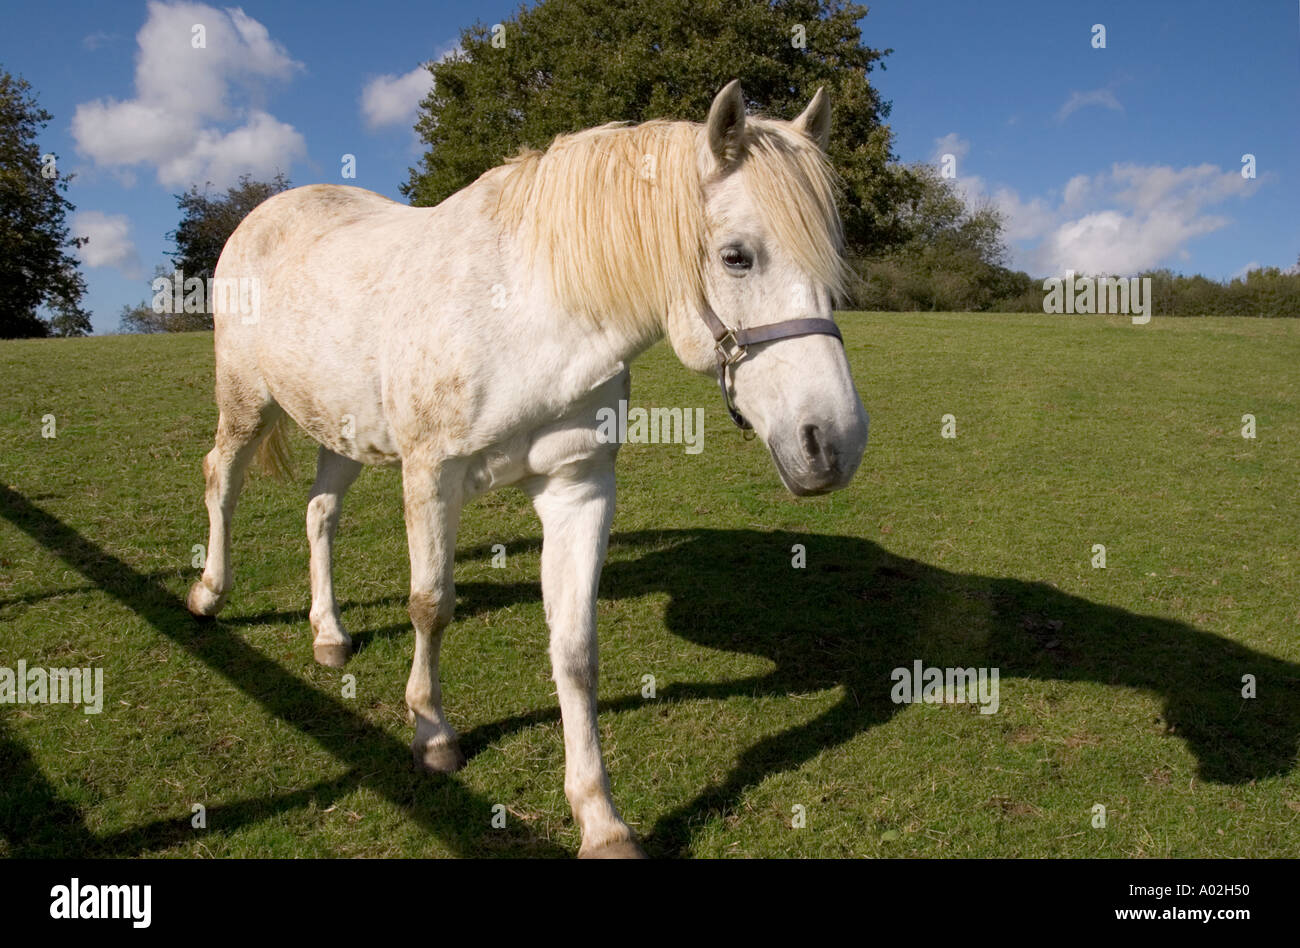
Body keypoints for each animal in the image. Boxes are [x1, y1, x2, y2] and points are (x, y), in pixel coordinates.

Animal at [186, 80, 869, 858]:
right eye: (736, 256)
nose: (832, 443)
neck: (527, 316)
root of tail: (264, 214)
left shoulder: (578, 488)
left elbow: (574, 648)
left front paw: (599, 817)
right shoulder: (431, 476)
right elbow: (431, 605)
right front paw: (433, 732)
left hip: (343, 427)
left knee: (320, 513)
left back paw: (328, 634)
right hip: (247, 402)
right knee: (222, 479)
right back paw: (208, 593)